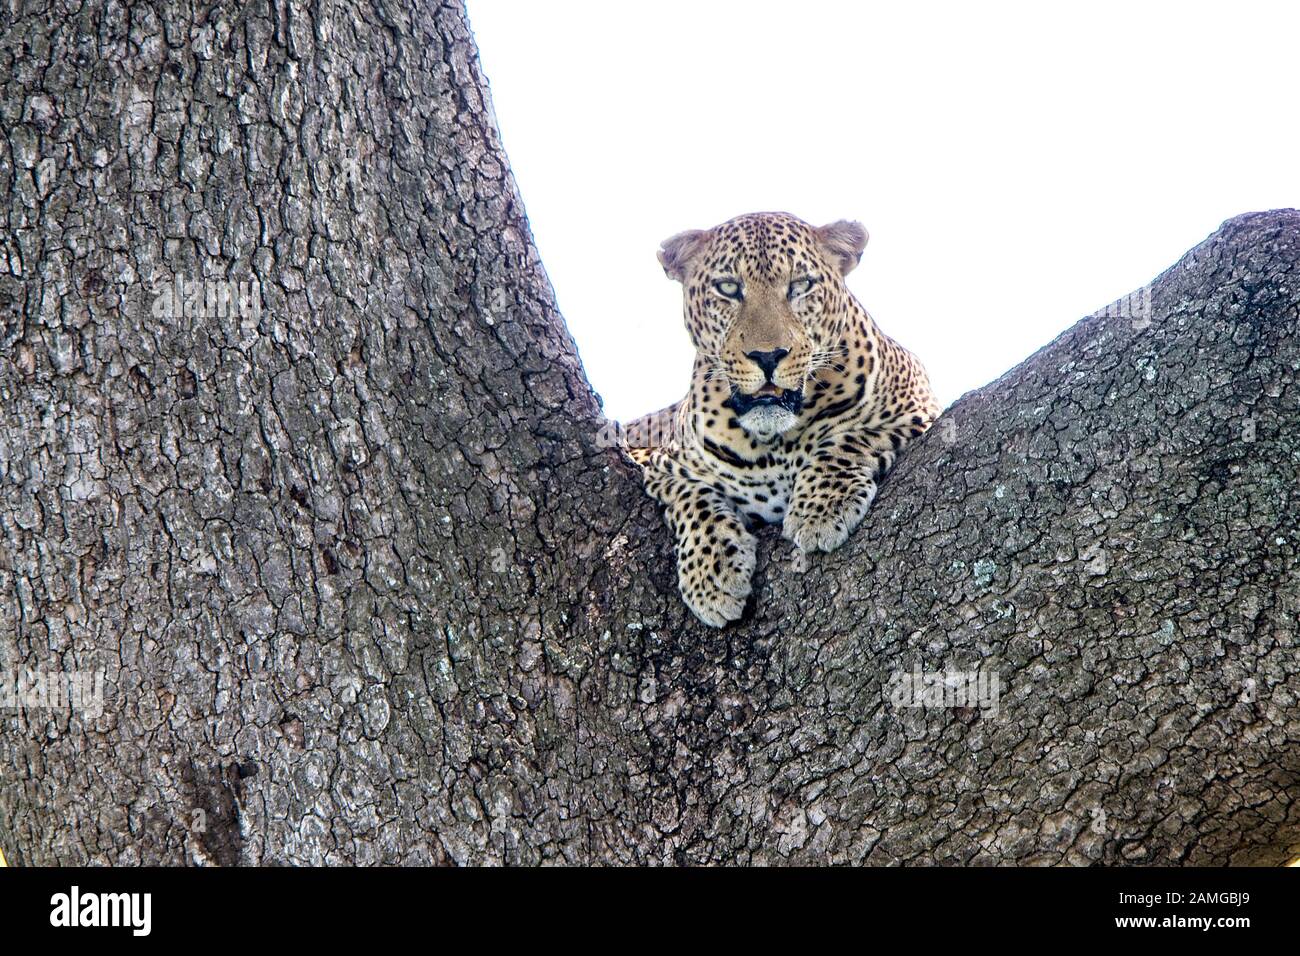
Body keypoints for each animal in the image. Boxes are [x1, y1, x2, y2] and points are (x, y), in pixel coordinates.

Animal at [623, 211, 939, 627]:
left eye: (801, 285)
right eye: (728, 287)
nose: (768, 356)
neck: (773, 443)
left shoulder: (919, 402)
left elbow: (851, 437)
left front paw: (820, 508)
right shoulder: (662, 466)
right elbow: (693, 500)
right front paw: (712, 576)